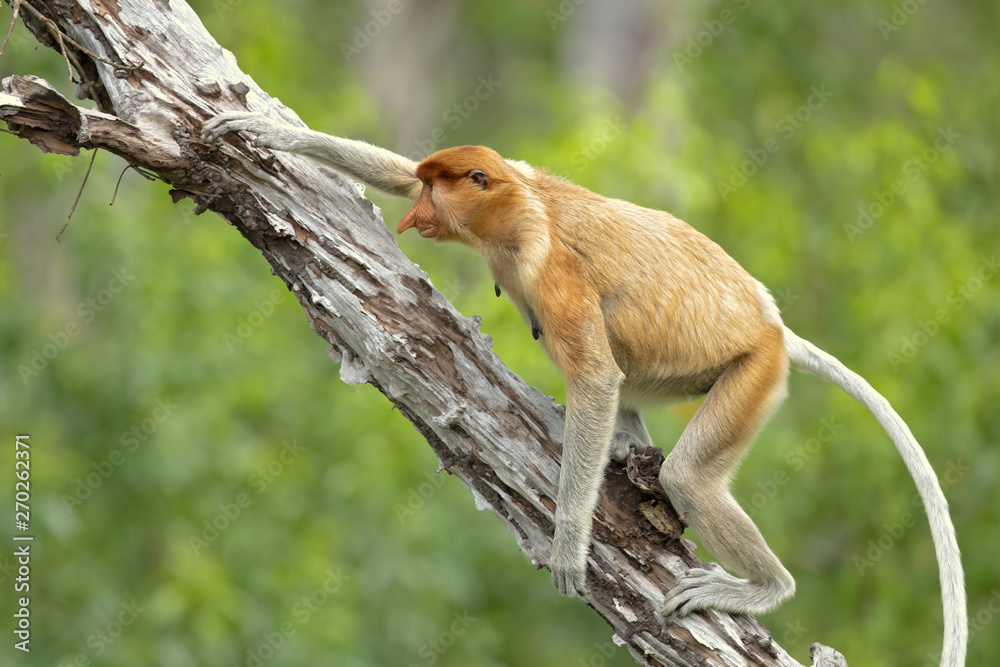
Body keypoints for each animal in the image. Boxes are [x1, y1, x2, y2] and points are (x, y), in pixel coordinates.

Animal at [201, 111, 967, 666]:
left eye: (434, 189)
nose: (417, 212)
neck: (521, 209)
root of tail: (774, 324)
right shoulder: (523, 178)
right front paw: (267, 131)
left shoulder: (553, 270)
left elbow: (594, 379)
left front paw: (568, 545)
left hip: (753, 372)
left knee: (687, 474)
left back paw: (764, 585)